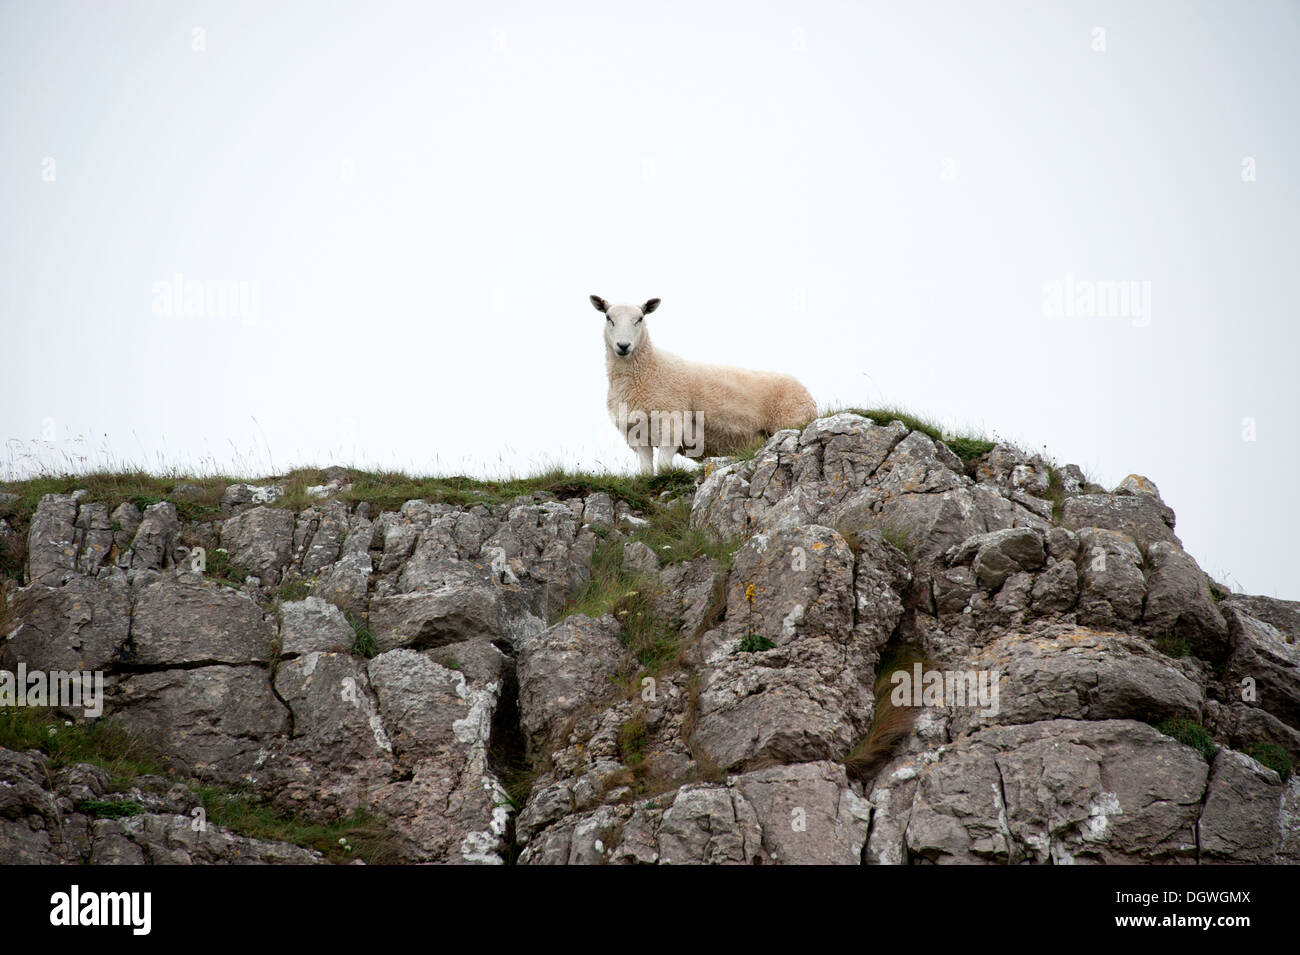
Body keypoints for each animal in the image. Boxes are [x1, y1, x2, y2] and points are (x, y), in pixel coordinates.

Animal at [591, 294, 818, 474]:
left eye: (640, 319)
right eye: (608, 318)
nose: (623, 346)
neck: (647, 370)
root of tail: (807, 394)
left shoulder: (672, 421)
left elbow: (664, 466)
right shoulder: (636, 433)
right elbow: (646, 470)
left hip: (789, 420)